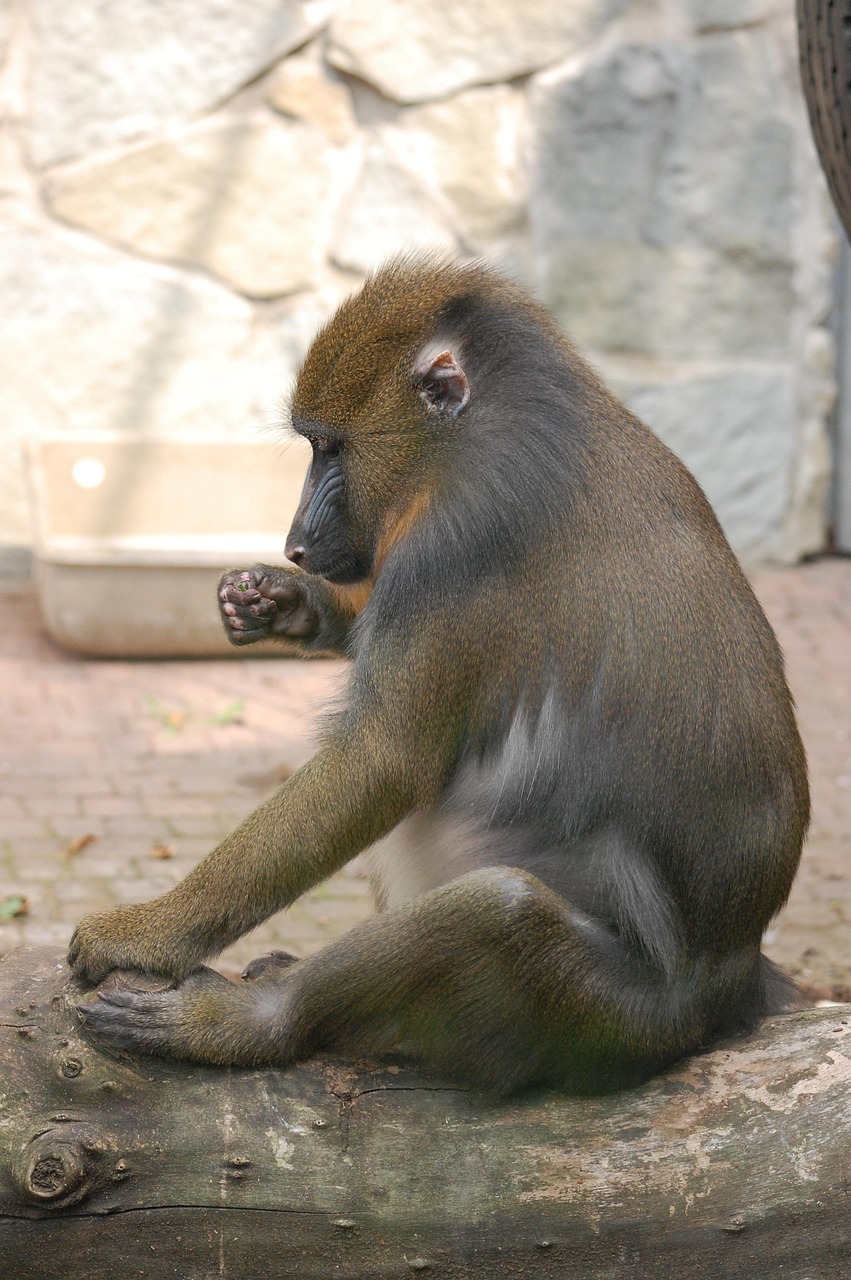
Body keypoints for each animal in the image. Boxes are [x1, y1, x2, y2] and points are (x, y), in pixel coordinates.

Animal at [70, 257, 809, 1095]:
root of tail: (723, 984)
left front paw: (145, 934)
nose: (296, 545)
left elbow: (382, 763)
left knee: (499, 908)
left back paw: (254, 1022)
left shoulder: (451, 548)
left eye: (330, 450)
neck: (471, 434)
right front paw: (279, 601)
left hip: (597, 1013)